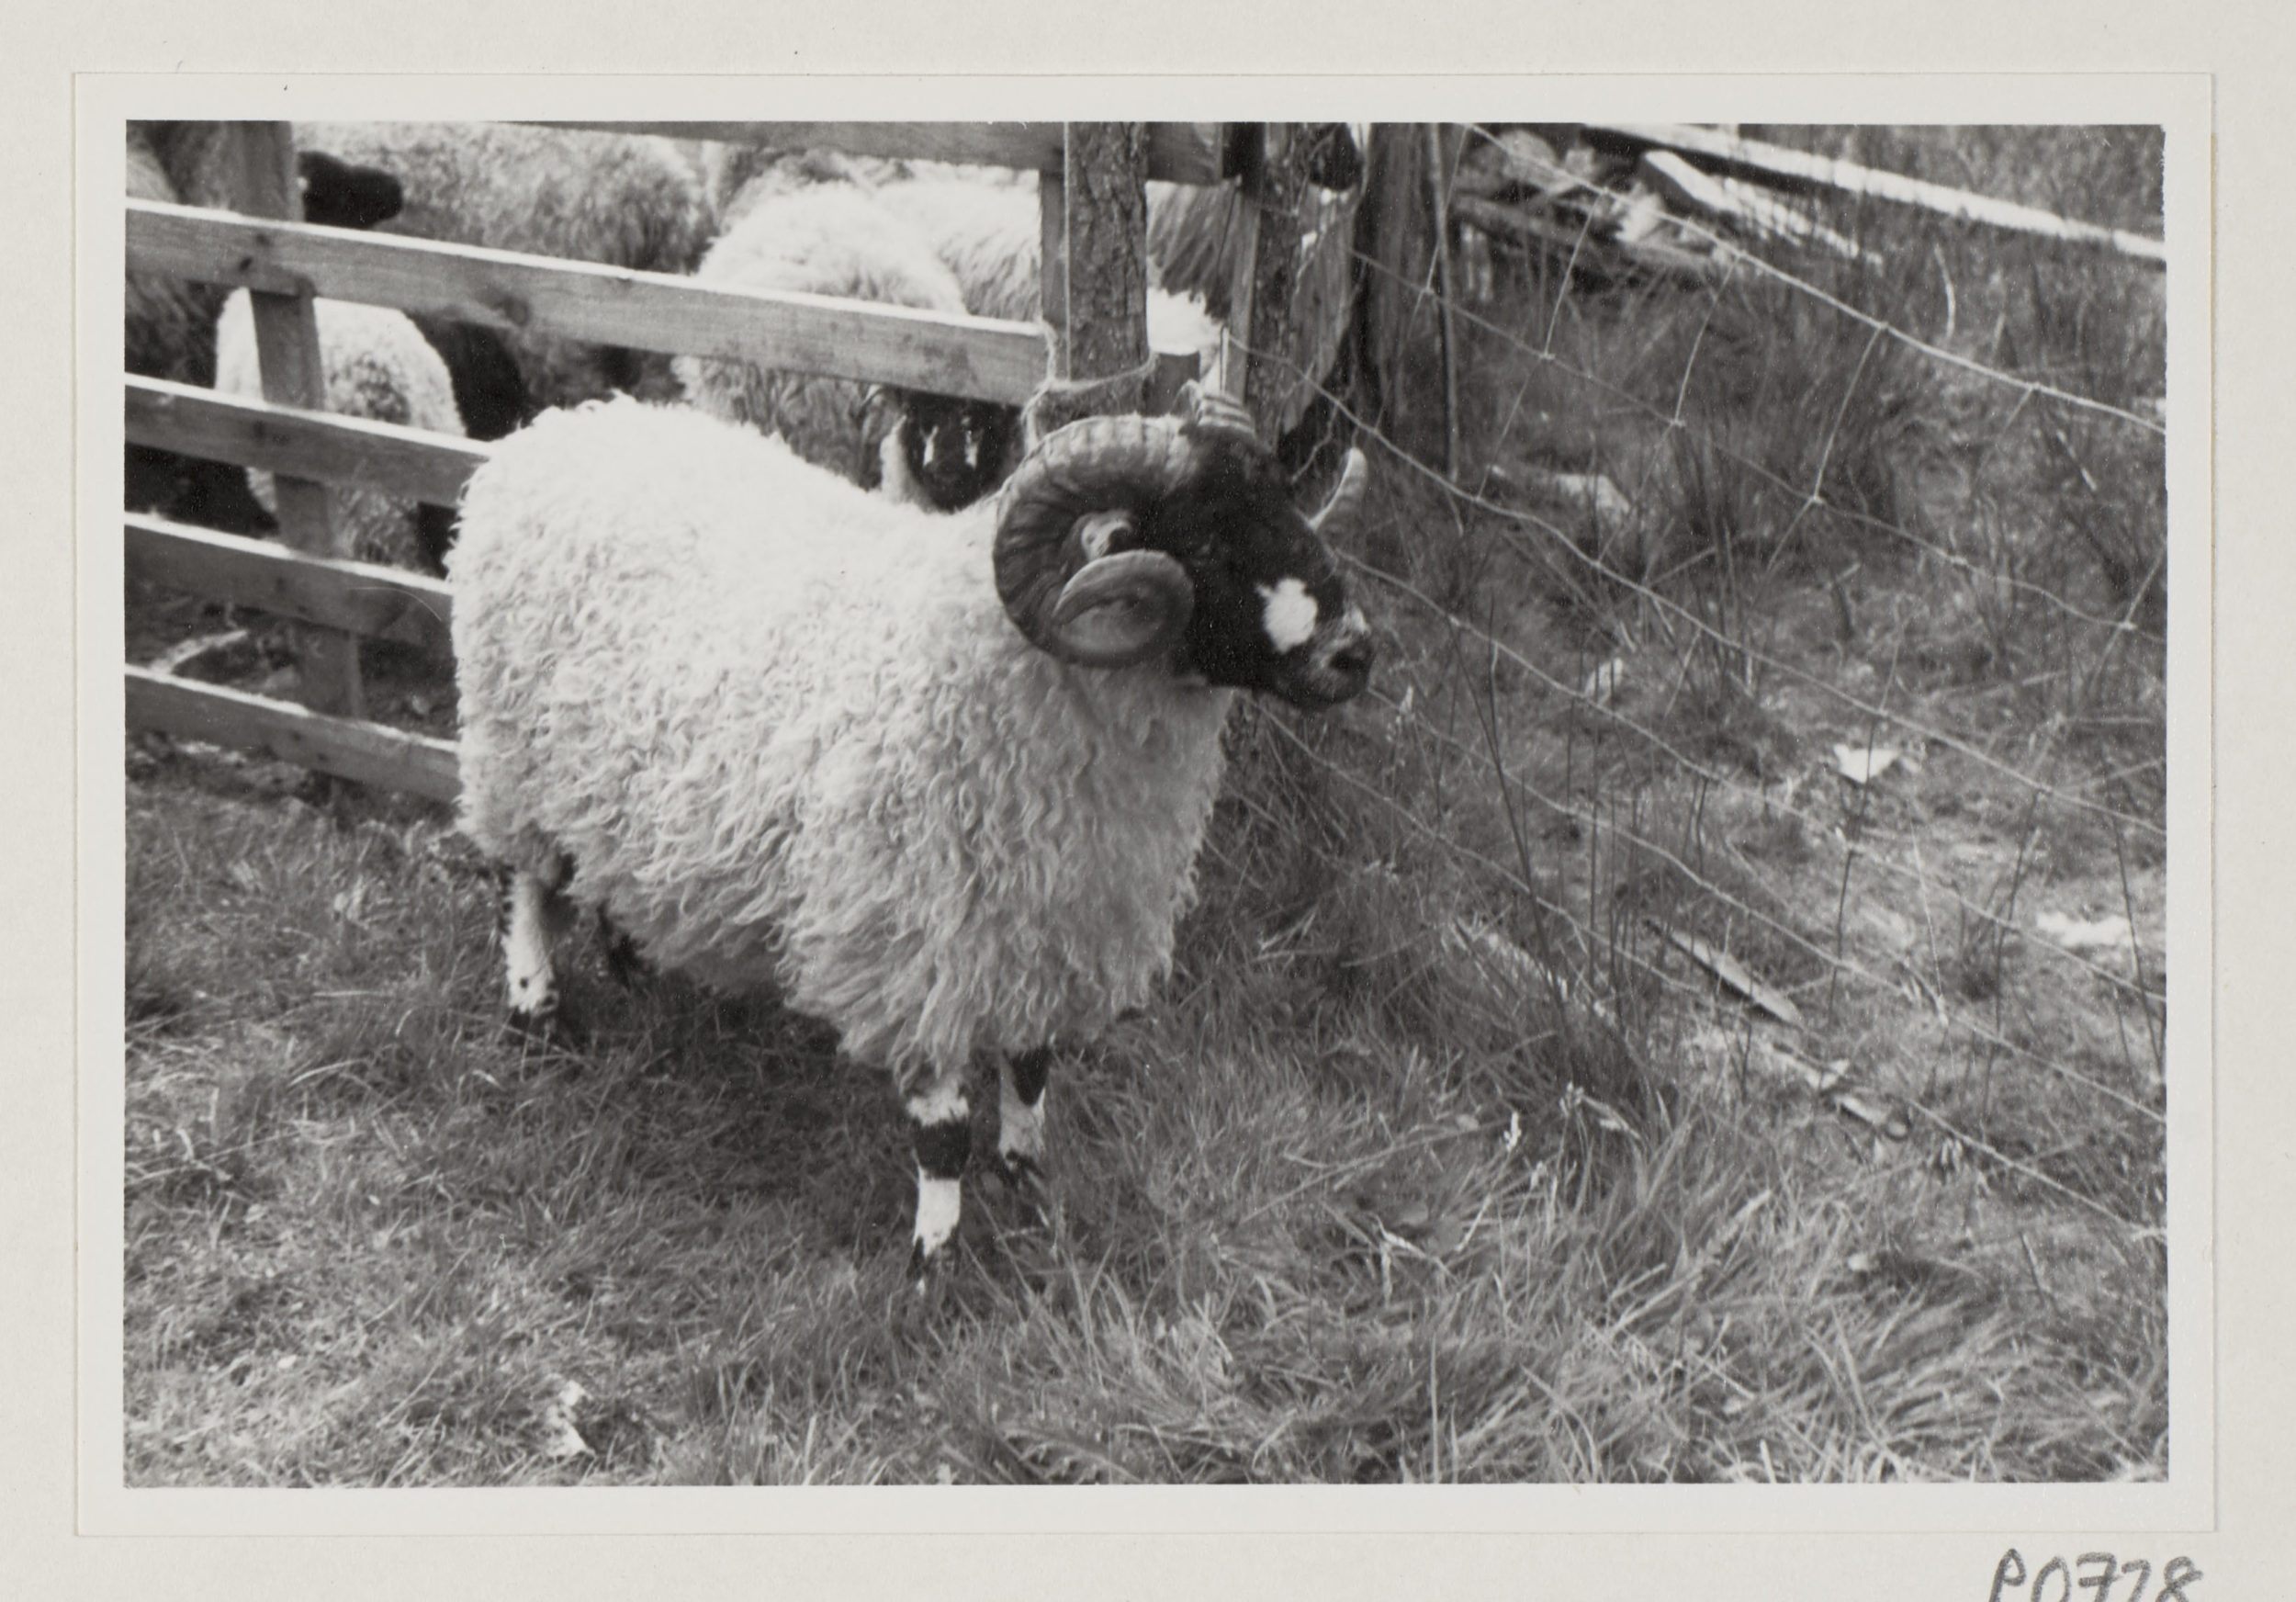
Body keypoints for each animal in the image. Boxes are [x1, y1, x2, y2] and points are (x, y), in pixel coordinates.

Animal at [450, 382, 1376, 1273]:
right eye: (1212, 548)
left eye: (1287, 506)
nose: (1355, 653)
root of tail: (553, 432)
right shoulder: (918, 946)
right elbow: (943, 1134)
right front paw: (933, 1264)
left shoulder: (1046, 927)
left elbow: (1031, 1071)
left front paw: (1029, 1181)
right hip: (509, 757)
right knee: (518, 883)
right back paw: (538, 1013)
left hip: (607, 791)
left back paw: (630, 960)